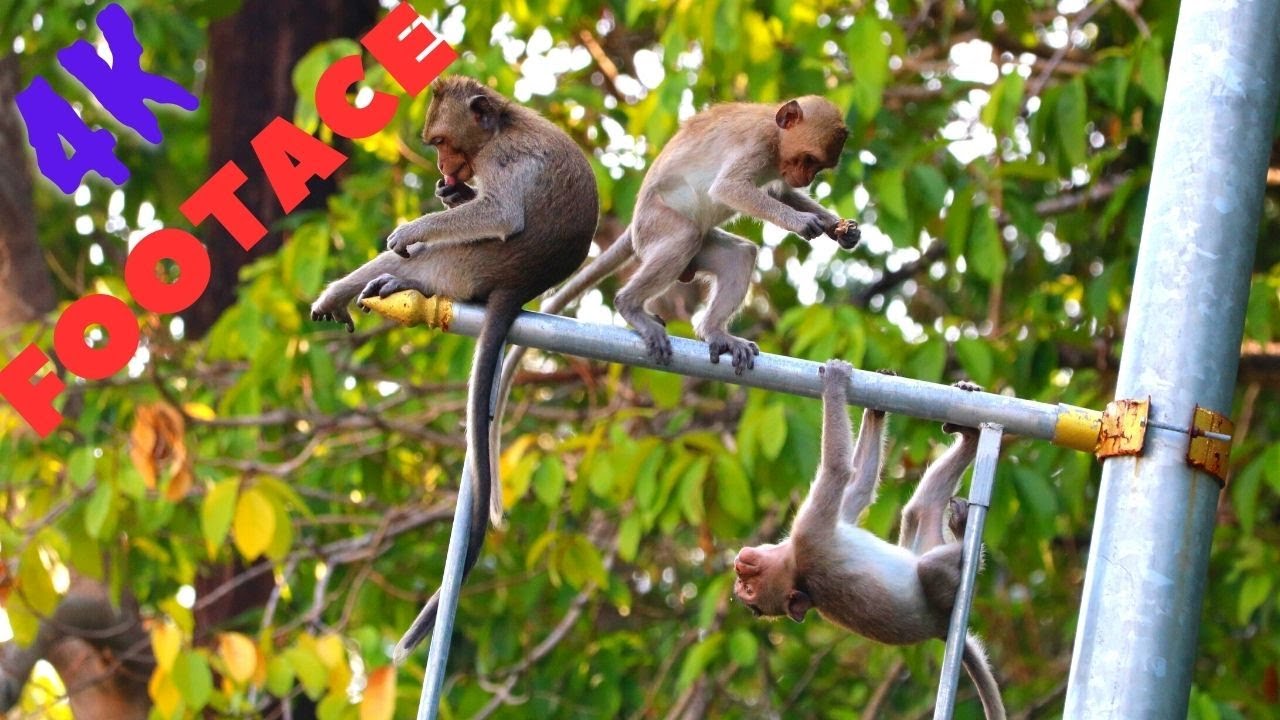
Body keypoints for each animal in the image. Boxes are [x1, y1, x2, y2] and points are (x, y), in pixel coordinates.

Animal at [309, 76, 598, 661]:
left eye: (442, 140)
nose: (444, 169)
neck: (501, 126)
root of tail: (518, 286)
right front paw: (451, 195)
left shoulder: (505, 159)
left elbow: (500, 215)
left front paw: (412, 226)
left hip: (464, 264)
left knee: (423, 255)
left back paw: (386, 280)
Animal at [732, 360, 1005, 720]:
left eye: (746, 587)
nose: (738, 575)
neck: (794, 565)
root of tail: (940, 629)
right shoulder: (810, 535)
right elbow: (837, 470)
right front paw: (834, 383)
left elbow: (859, 485)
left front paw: (875, 409)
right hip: (939, 581)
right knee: (931, 569)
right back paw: (962, 534)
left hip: (923, 540)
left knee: (918, 510)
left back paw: (971, 438)